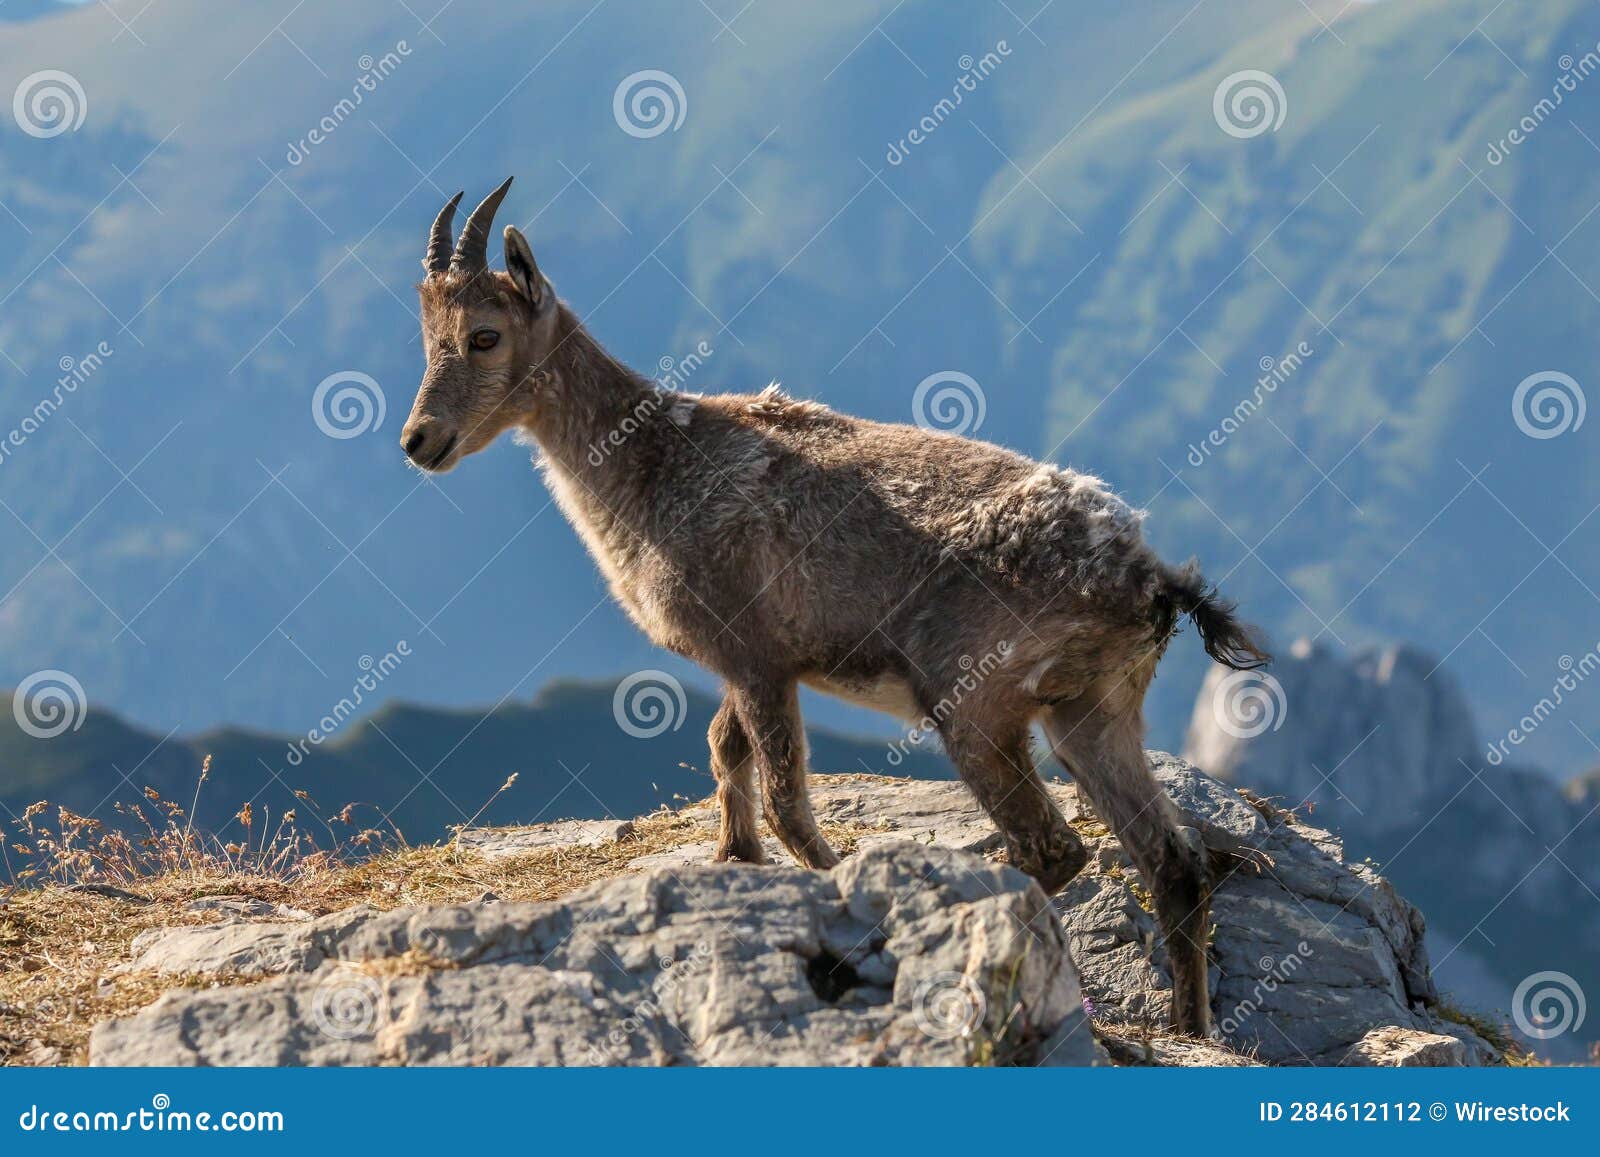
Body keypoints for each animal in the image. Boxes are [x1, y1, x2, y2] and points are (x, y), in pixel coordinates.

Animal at [400, 180, 1270, 1036]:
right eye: (427, 338)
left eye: (483, 336)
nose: (418, 439)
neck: (651, 462)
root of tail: (1147, 573)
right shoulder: (746, 663)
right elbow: (727, 749)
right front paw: (736, 859)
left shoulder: (757, 657)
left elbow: (785, 795)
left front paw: (822, 883)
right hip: (1092, 710)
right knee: (1173, 861)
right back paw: (1190, 1026)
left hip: (975, 702)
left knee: (1055, 850)